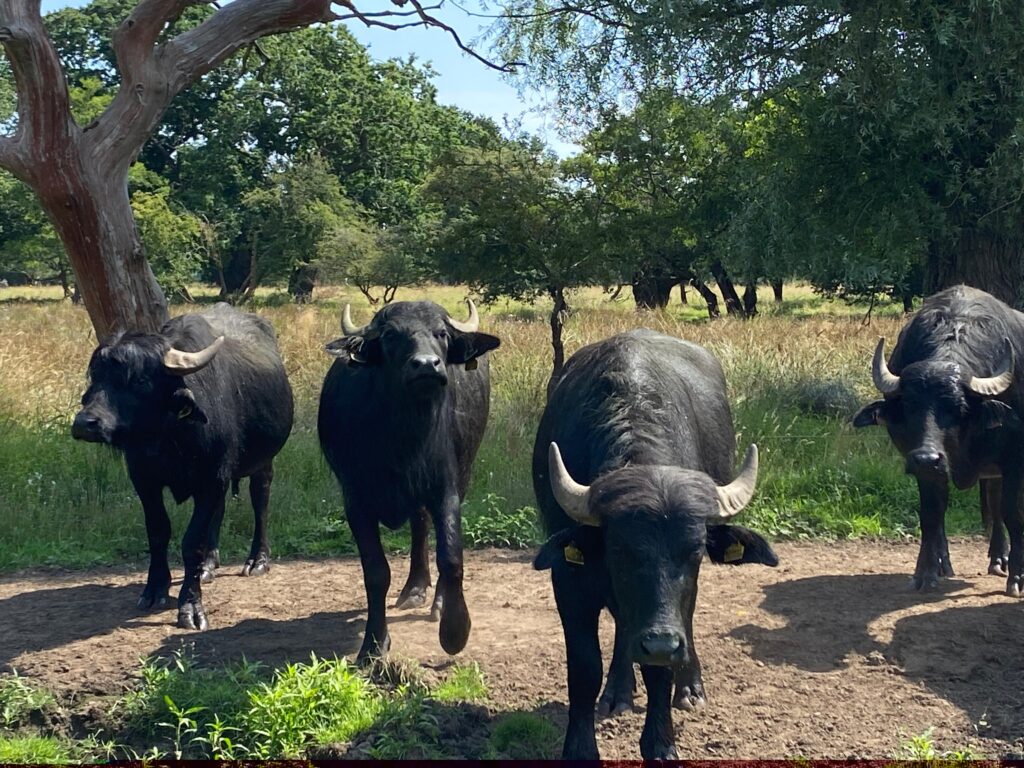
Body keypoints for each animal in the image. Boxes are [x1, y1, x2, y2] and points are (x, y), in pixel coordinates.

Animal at [72, 303, 294, 630]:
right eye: (95, 378)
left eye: (139, 381)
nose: (85, 423)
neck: (171, 437)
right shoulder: (144, 479)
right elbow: (158, 531)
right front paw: (155, 589)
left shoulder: (212, 479)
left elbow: (192, 542)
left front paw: (190, 605)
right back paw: (209, 565)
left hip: (263, 462)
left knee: (260, 501)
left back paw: (257, 560)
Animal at [318, 300, 500, 662]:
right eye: (391, 335)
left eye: (441, 333)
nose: (426, 365)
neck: (404, 438)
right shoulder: (355, 500)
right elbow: (376, 572)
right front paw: (373, 643)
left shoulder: (446, 488)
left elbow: (451, 557)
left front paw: (454, 630)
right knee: (419, 524)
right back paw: (414, 588)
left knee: (423, 526)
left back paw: (432, 600)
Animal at [532, 329, 778, 760]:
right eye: (620, 550)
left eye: (695, 551)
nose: (661, 643)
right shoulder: (568, 579)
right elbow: (584, 667)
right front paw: (581, 748)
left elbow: (659, 666)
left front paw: (661, 743)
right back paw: (618, 691)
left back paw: (689, 687)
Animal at [854, 285, 1023, 594]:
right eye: (909, 407)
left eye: (959, 408)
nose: (925, 458)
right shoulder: (927, 469)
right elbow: (931, 513)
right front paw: (925, 571)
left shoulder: (1015, 457)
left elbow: (1013, 513)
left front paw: (1018, 576)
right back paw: (950, 562)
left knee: (996, 505)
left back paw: (1000, 560)